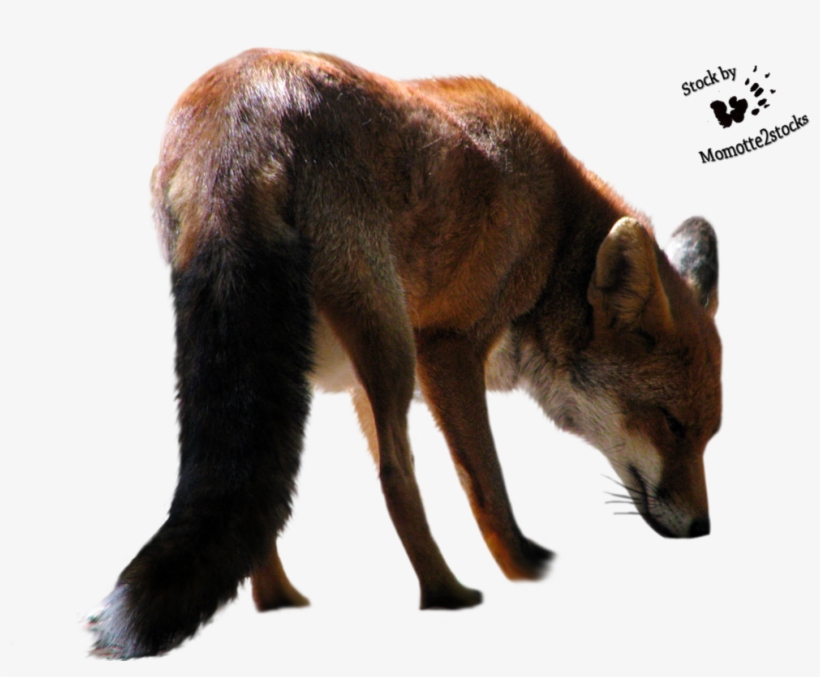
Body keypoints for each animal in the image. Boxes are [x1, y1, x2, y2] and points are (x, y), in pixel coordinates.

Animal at [88, 49, 721, 658]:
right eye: (671, 425)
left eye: (708, 436)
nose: (701, 529)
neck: (553, 239)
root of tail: (238, 120)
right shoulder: (448, 348)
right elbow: (489, 494)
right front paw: (527, 573)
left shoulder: (360, 385)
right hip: (392, 344)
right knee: (395, 477)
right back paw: (448, 596)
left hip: (335, 361)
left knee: (268, 491)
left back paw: (280, 601)